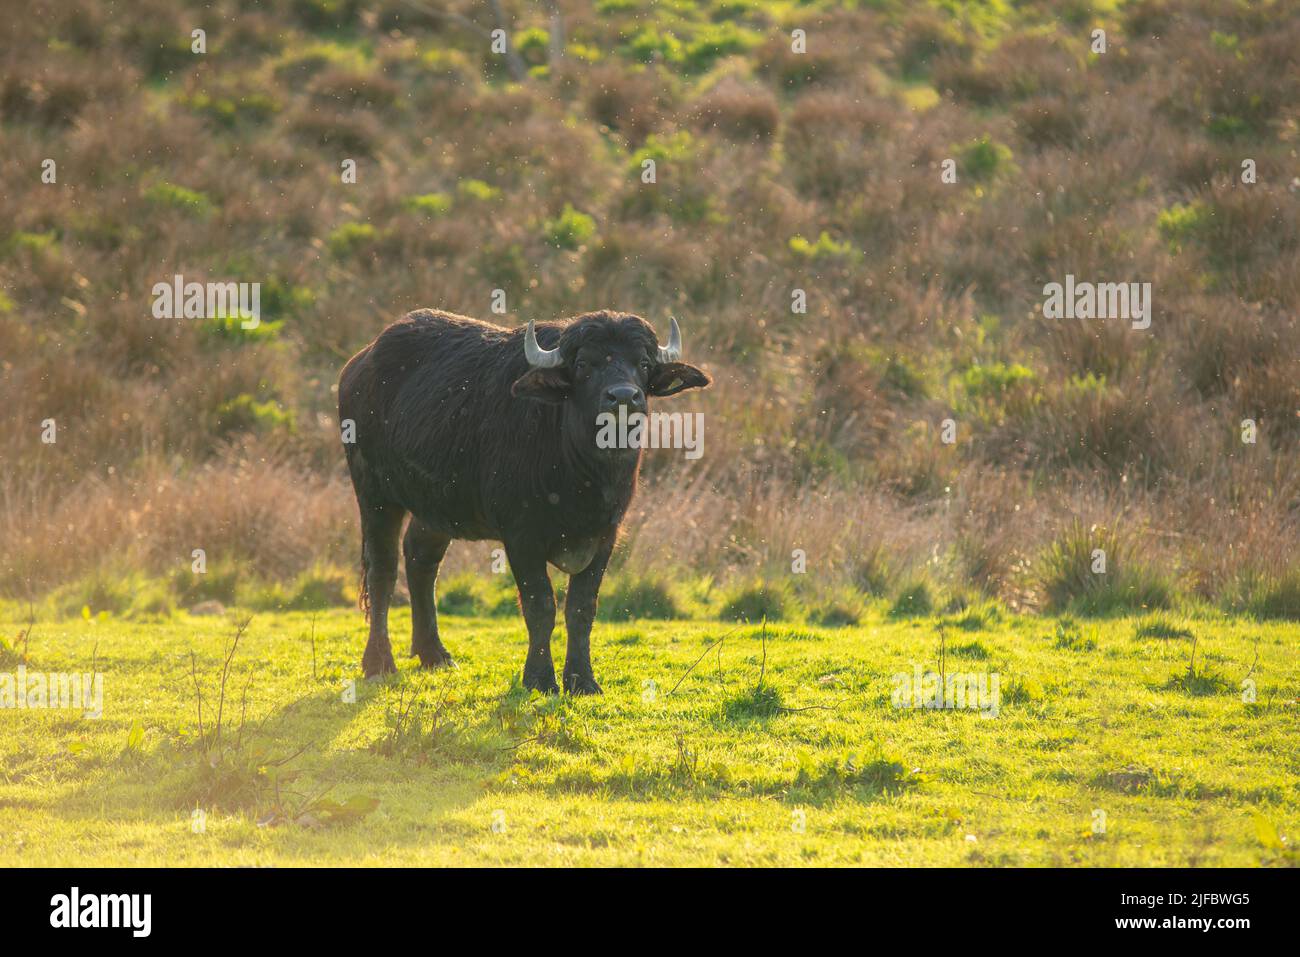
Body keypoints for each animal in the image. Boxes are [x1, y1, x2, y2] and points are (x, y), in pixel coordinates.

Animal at [338, 309, 710, 693]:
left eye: (644, 363)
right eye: (583, 364)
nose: (623, 397)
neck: (584, 474)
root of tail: (359, 363)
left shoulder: (606, 536)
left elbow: (581, 608)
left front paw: (582, 679)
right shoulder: (521, 536)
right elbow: (540, 605)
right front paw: (540, 678)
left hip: (435, 506)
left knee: (420, 560)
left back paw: (434, 654)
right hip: (374, 495)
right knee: (383, 571)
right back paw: (379, 663)